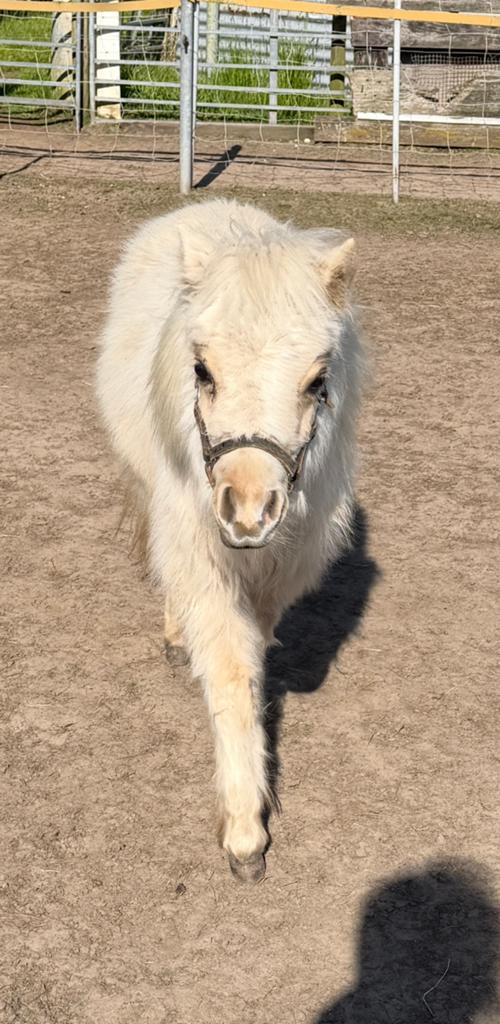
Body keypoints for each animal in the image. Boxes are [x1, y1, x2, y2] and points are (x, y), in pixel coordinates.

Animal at [96, 198, 364, 883]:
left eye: (317, 380)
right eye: (202, 369)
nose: (246, 510)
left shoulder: (278, 568)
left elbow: (256, 653)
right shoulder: (201, 553)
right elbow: (228, 670)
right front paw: (245, 831)